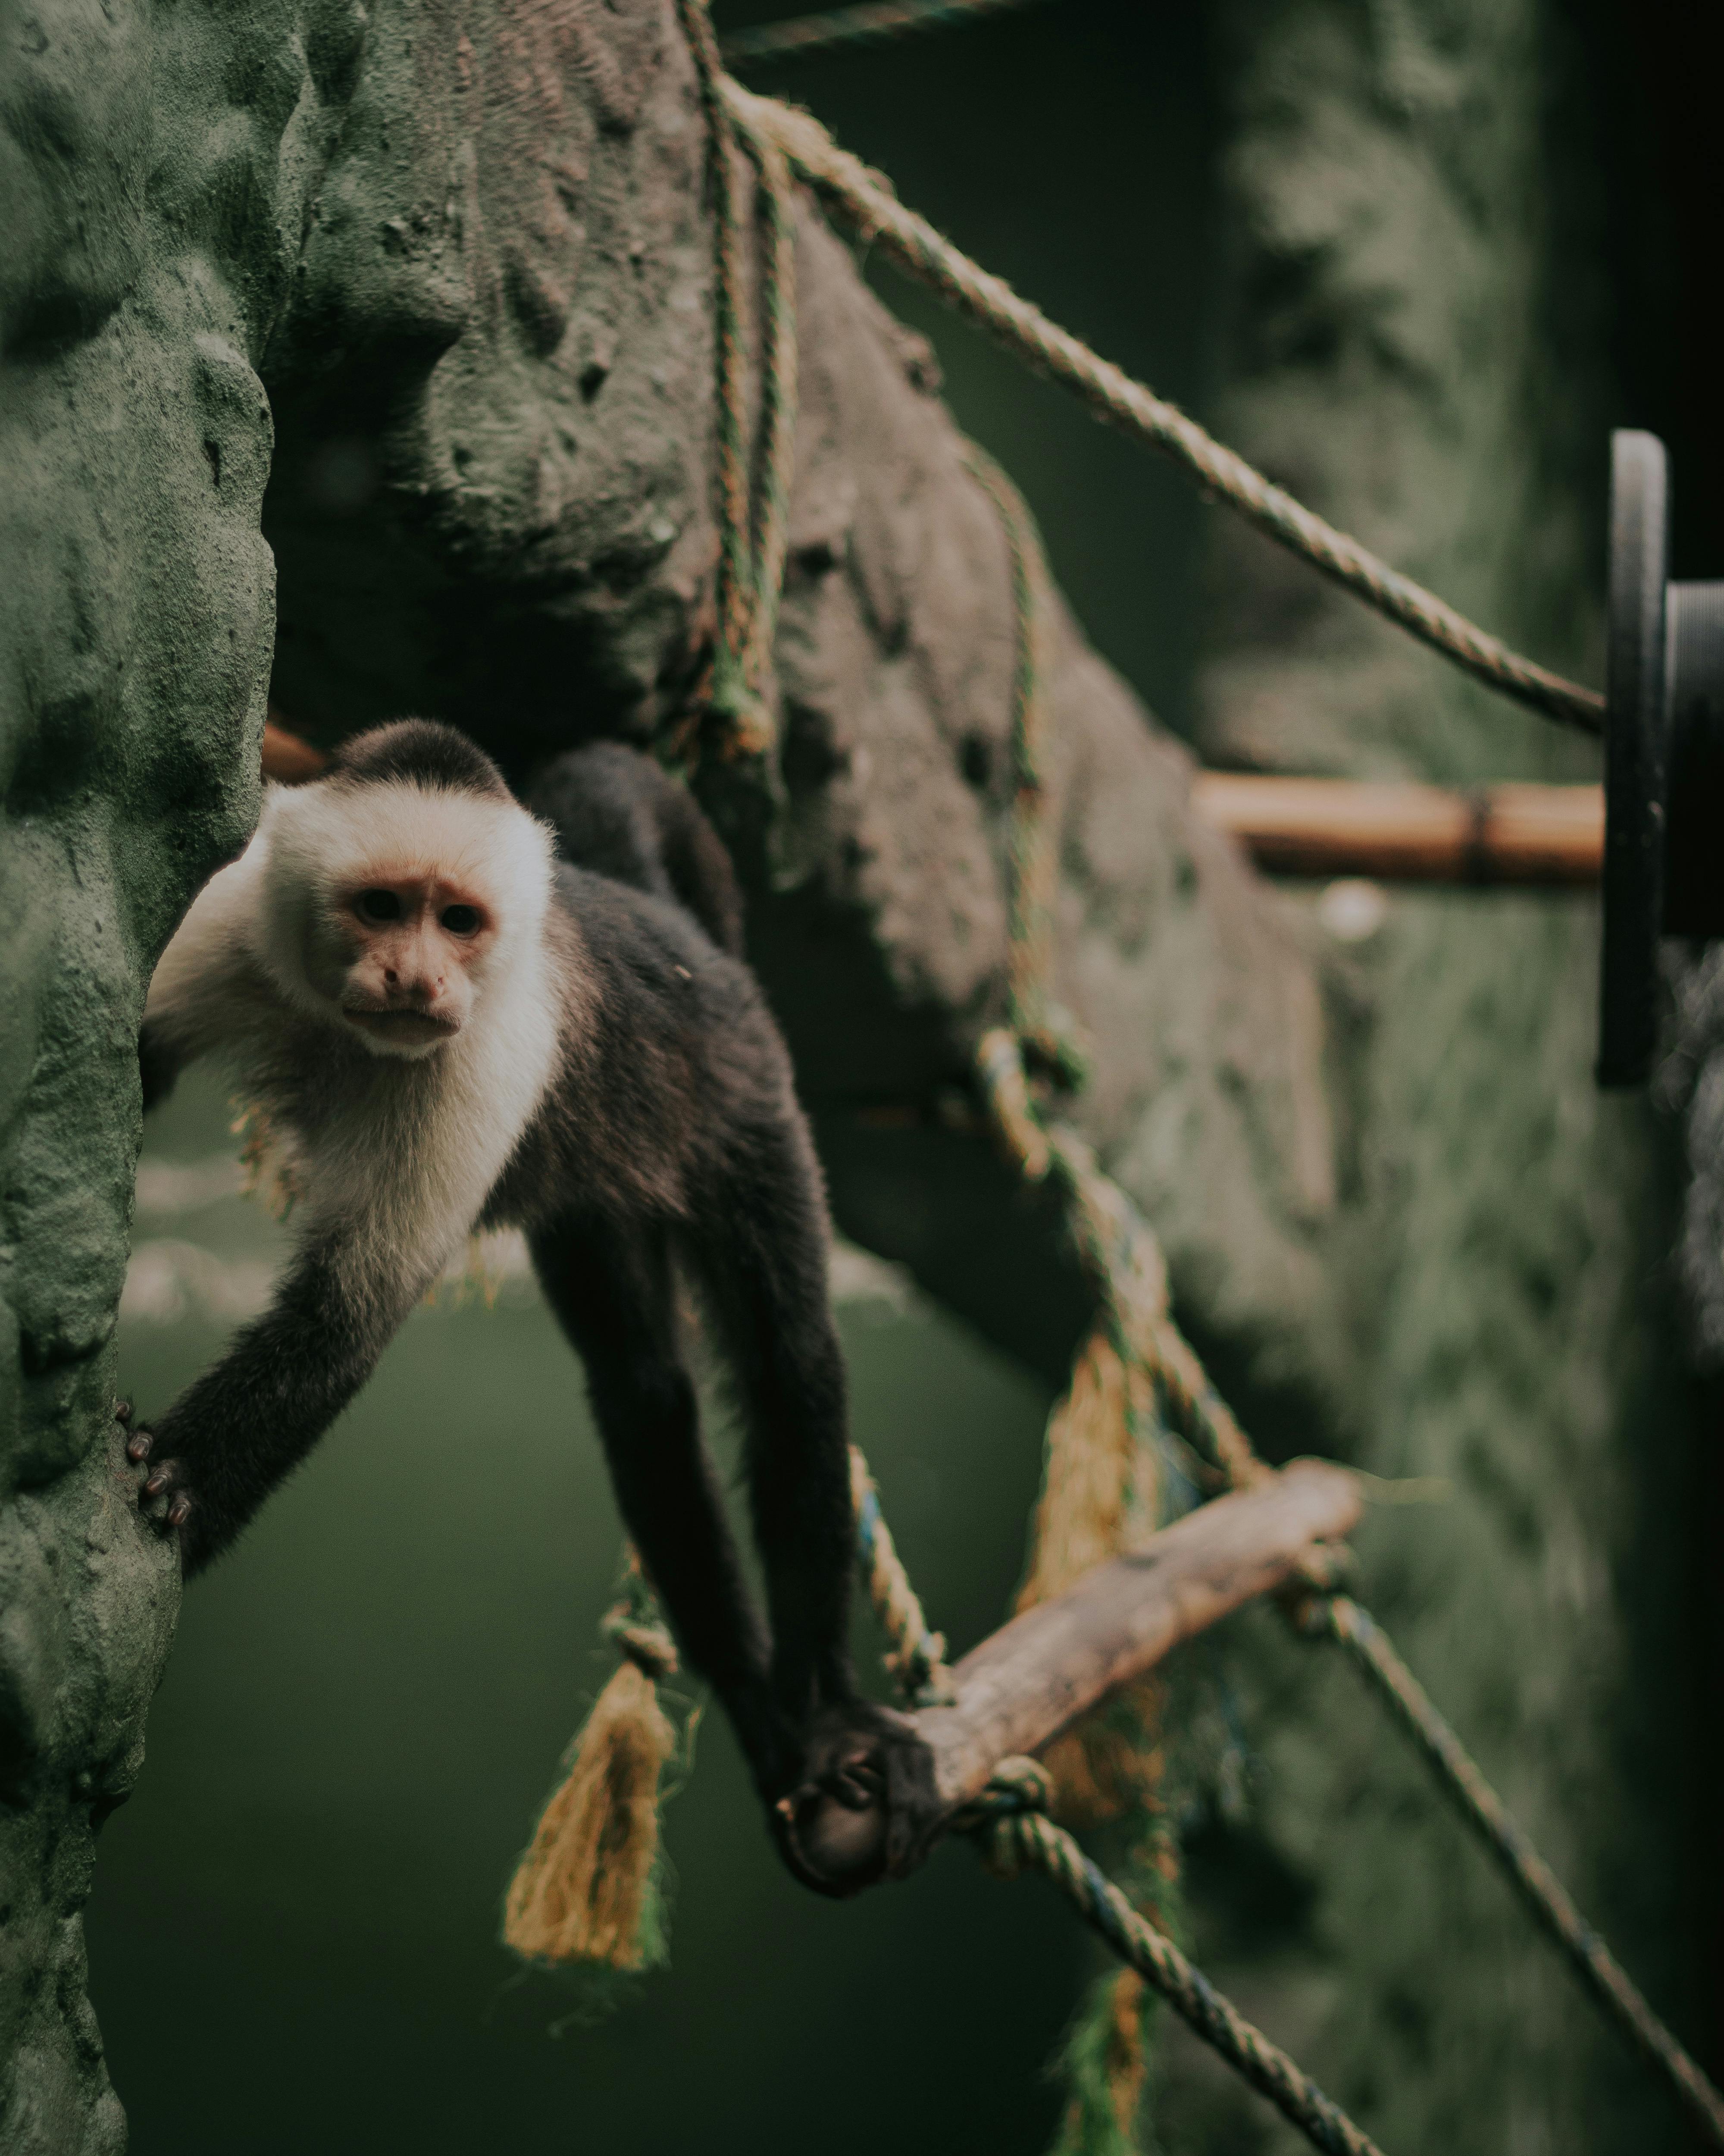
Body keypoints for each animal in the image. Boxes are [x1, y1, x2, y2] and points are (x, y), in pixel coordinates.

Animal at [124, 720, 937, 1893]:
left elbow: (344, 1320)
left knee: (790, 1369)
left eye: (458, 921)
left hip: (736, 1094)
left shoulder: (483, 1056)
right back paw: (759, 1712)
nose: (416, 973)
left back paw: (819, 1718)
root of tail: (664, 919)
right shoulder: (222, 928)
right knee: (643, 1390)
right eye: (382, 906)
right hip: (595, 1180)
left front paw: (180, 1482)